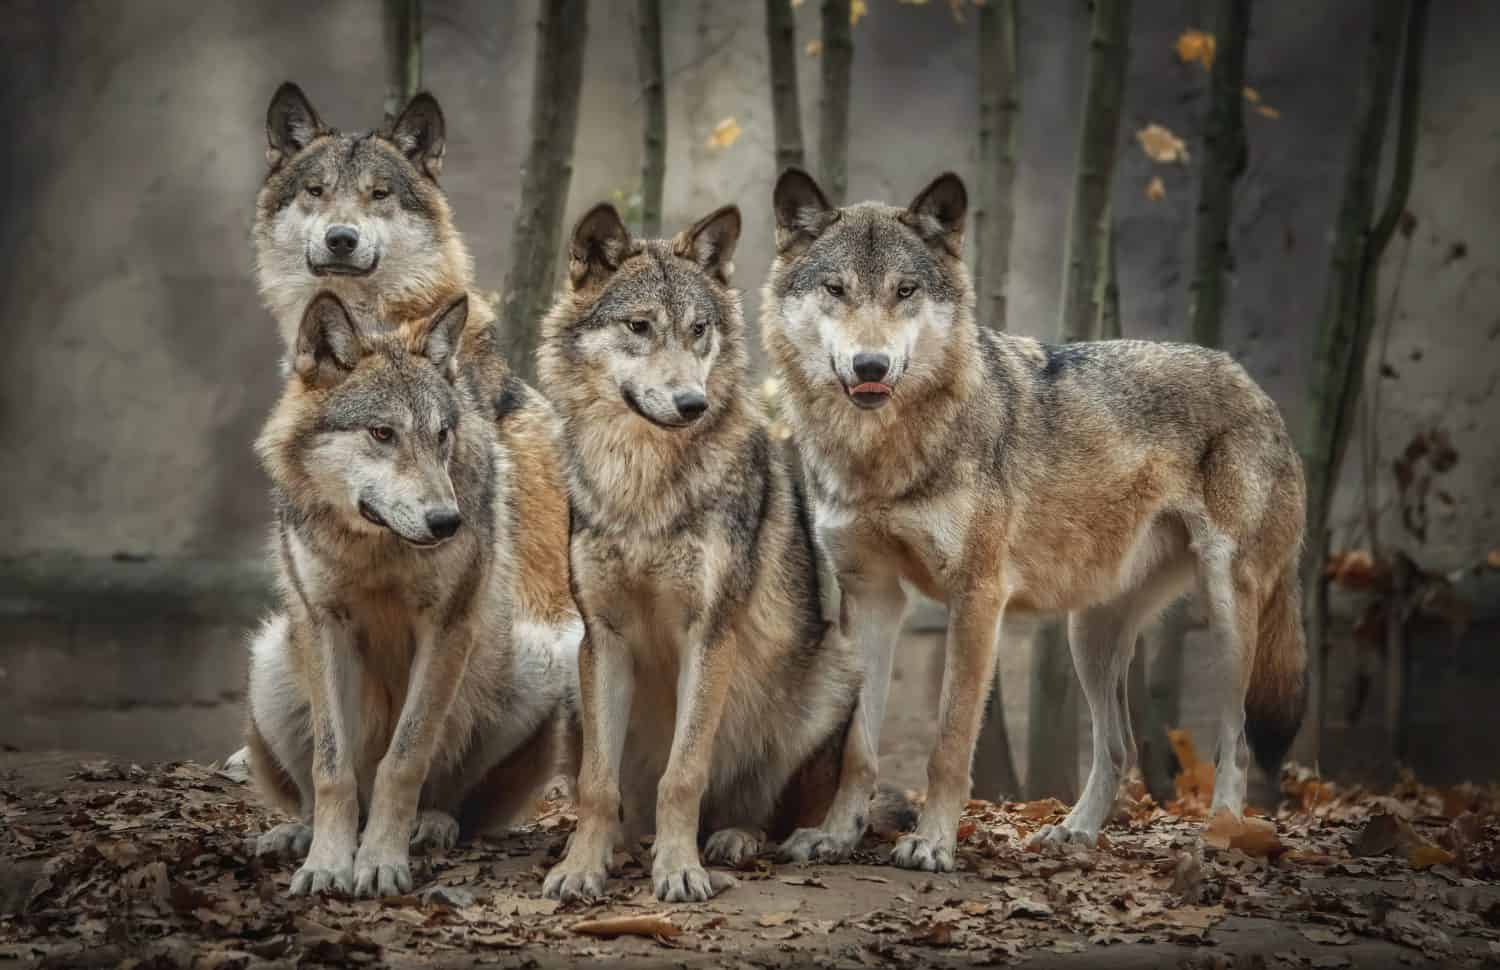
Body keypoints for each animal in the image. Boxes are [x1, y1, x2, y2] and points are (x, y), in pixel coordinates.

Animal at [246, 292, 572, 897]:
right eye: (382, 433)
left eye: (441, 435)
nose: (446, 521)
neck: (376, 549)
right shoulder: (322, 624)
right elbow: (331, 768)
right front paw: (327, 864)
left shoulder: (447, 626)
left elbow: (404, 759)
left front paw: (379, 862)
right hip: (271, 657)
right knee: (318, 788)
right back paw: (299, 832)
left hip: (537, 660)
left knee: (450, 799)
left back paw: (430, 826)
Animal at [535, 203, 876, 903]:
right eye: (640, 327)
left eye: (698, 331)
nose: (691, 403)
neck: (642, 486)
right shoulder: (601, 636)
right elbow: (595, 784)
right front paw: (581, 867)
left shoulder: (710, 632)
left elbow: (685, 772)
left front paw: (679, 870)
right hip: (572, 689)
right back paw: (628, 845)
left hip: (833, 676)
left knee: (757, 807)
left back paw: (732, 839)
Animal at [761, 169, 1308, 871]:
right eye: (836, 289)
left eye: (905, 291)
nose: (870, 366)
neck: (881, 454)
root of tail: (1253, 384)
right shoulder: (872, 597)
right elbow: (858, 744)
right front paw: (835, 836)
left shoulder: (977, 597)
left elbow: (949, 743)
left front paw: (932, 844)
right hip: (1090, 633)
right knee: (1119, 747)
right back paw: (1075, 832)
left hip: (1227, 611)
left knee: (1233, 742)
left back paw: (1221, 836)